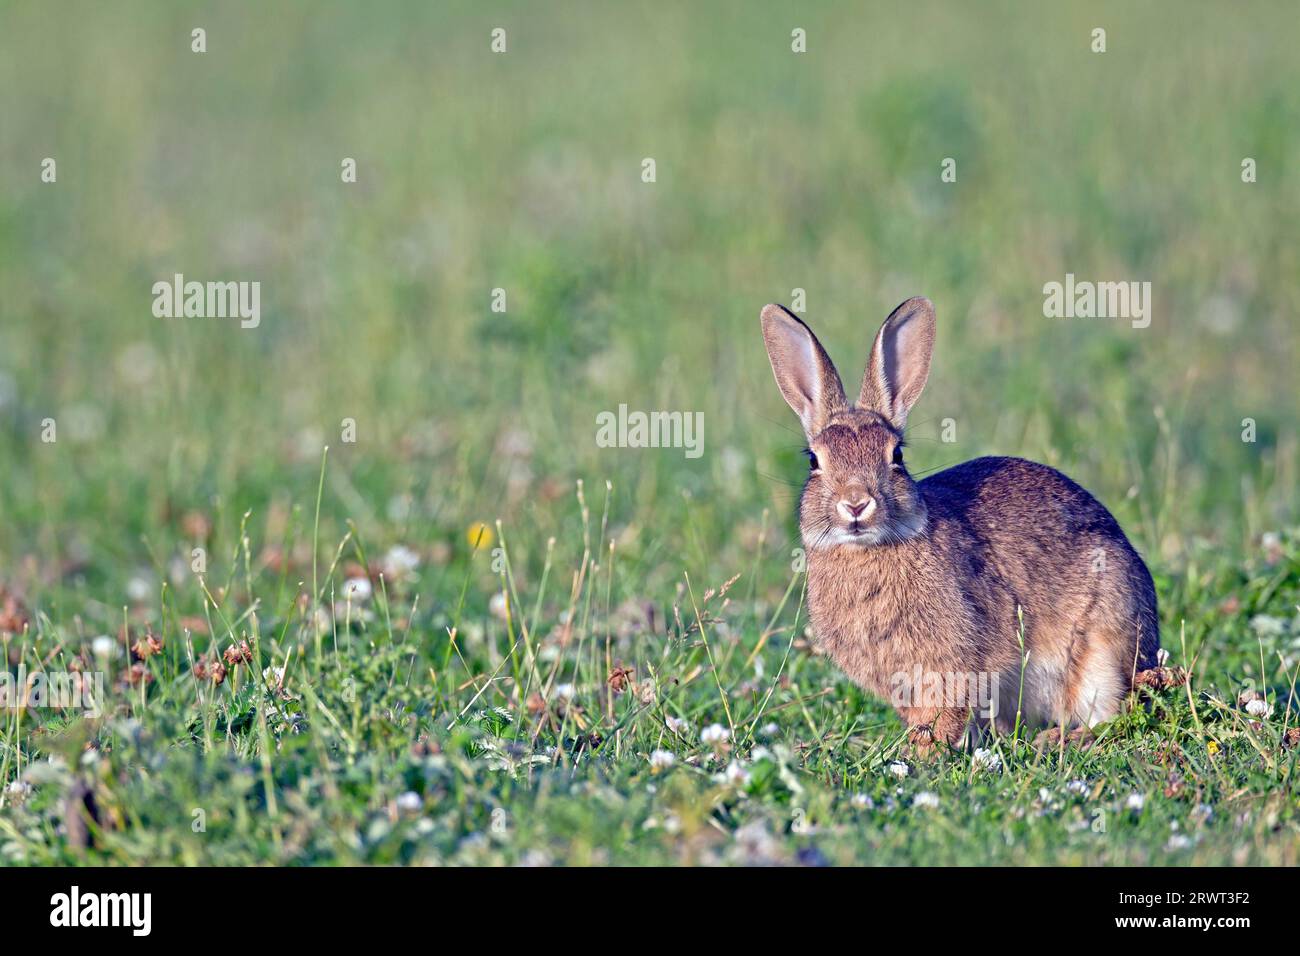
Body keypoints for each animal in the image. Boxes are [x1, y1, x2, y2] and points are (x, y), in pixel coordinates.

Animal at [760, 296, 1160, 751]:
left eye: (896, 456)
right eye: (814, 461)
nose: (857, 503)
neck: (869, 551)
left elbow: (948, 707)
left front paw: (926, 752)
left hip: (1104, 647)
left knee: (1109, 714)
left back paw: (1056, 739)